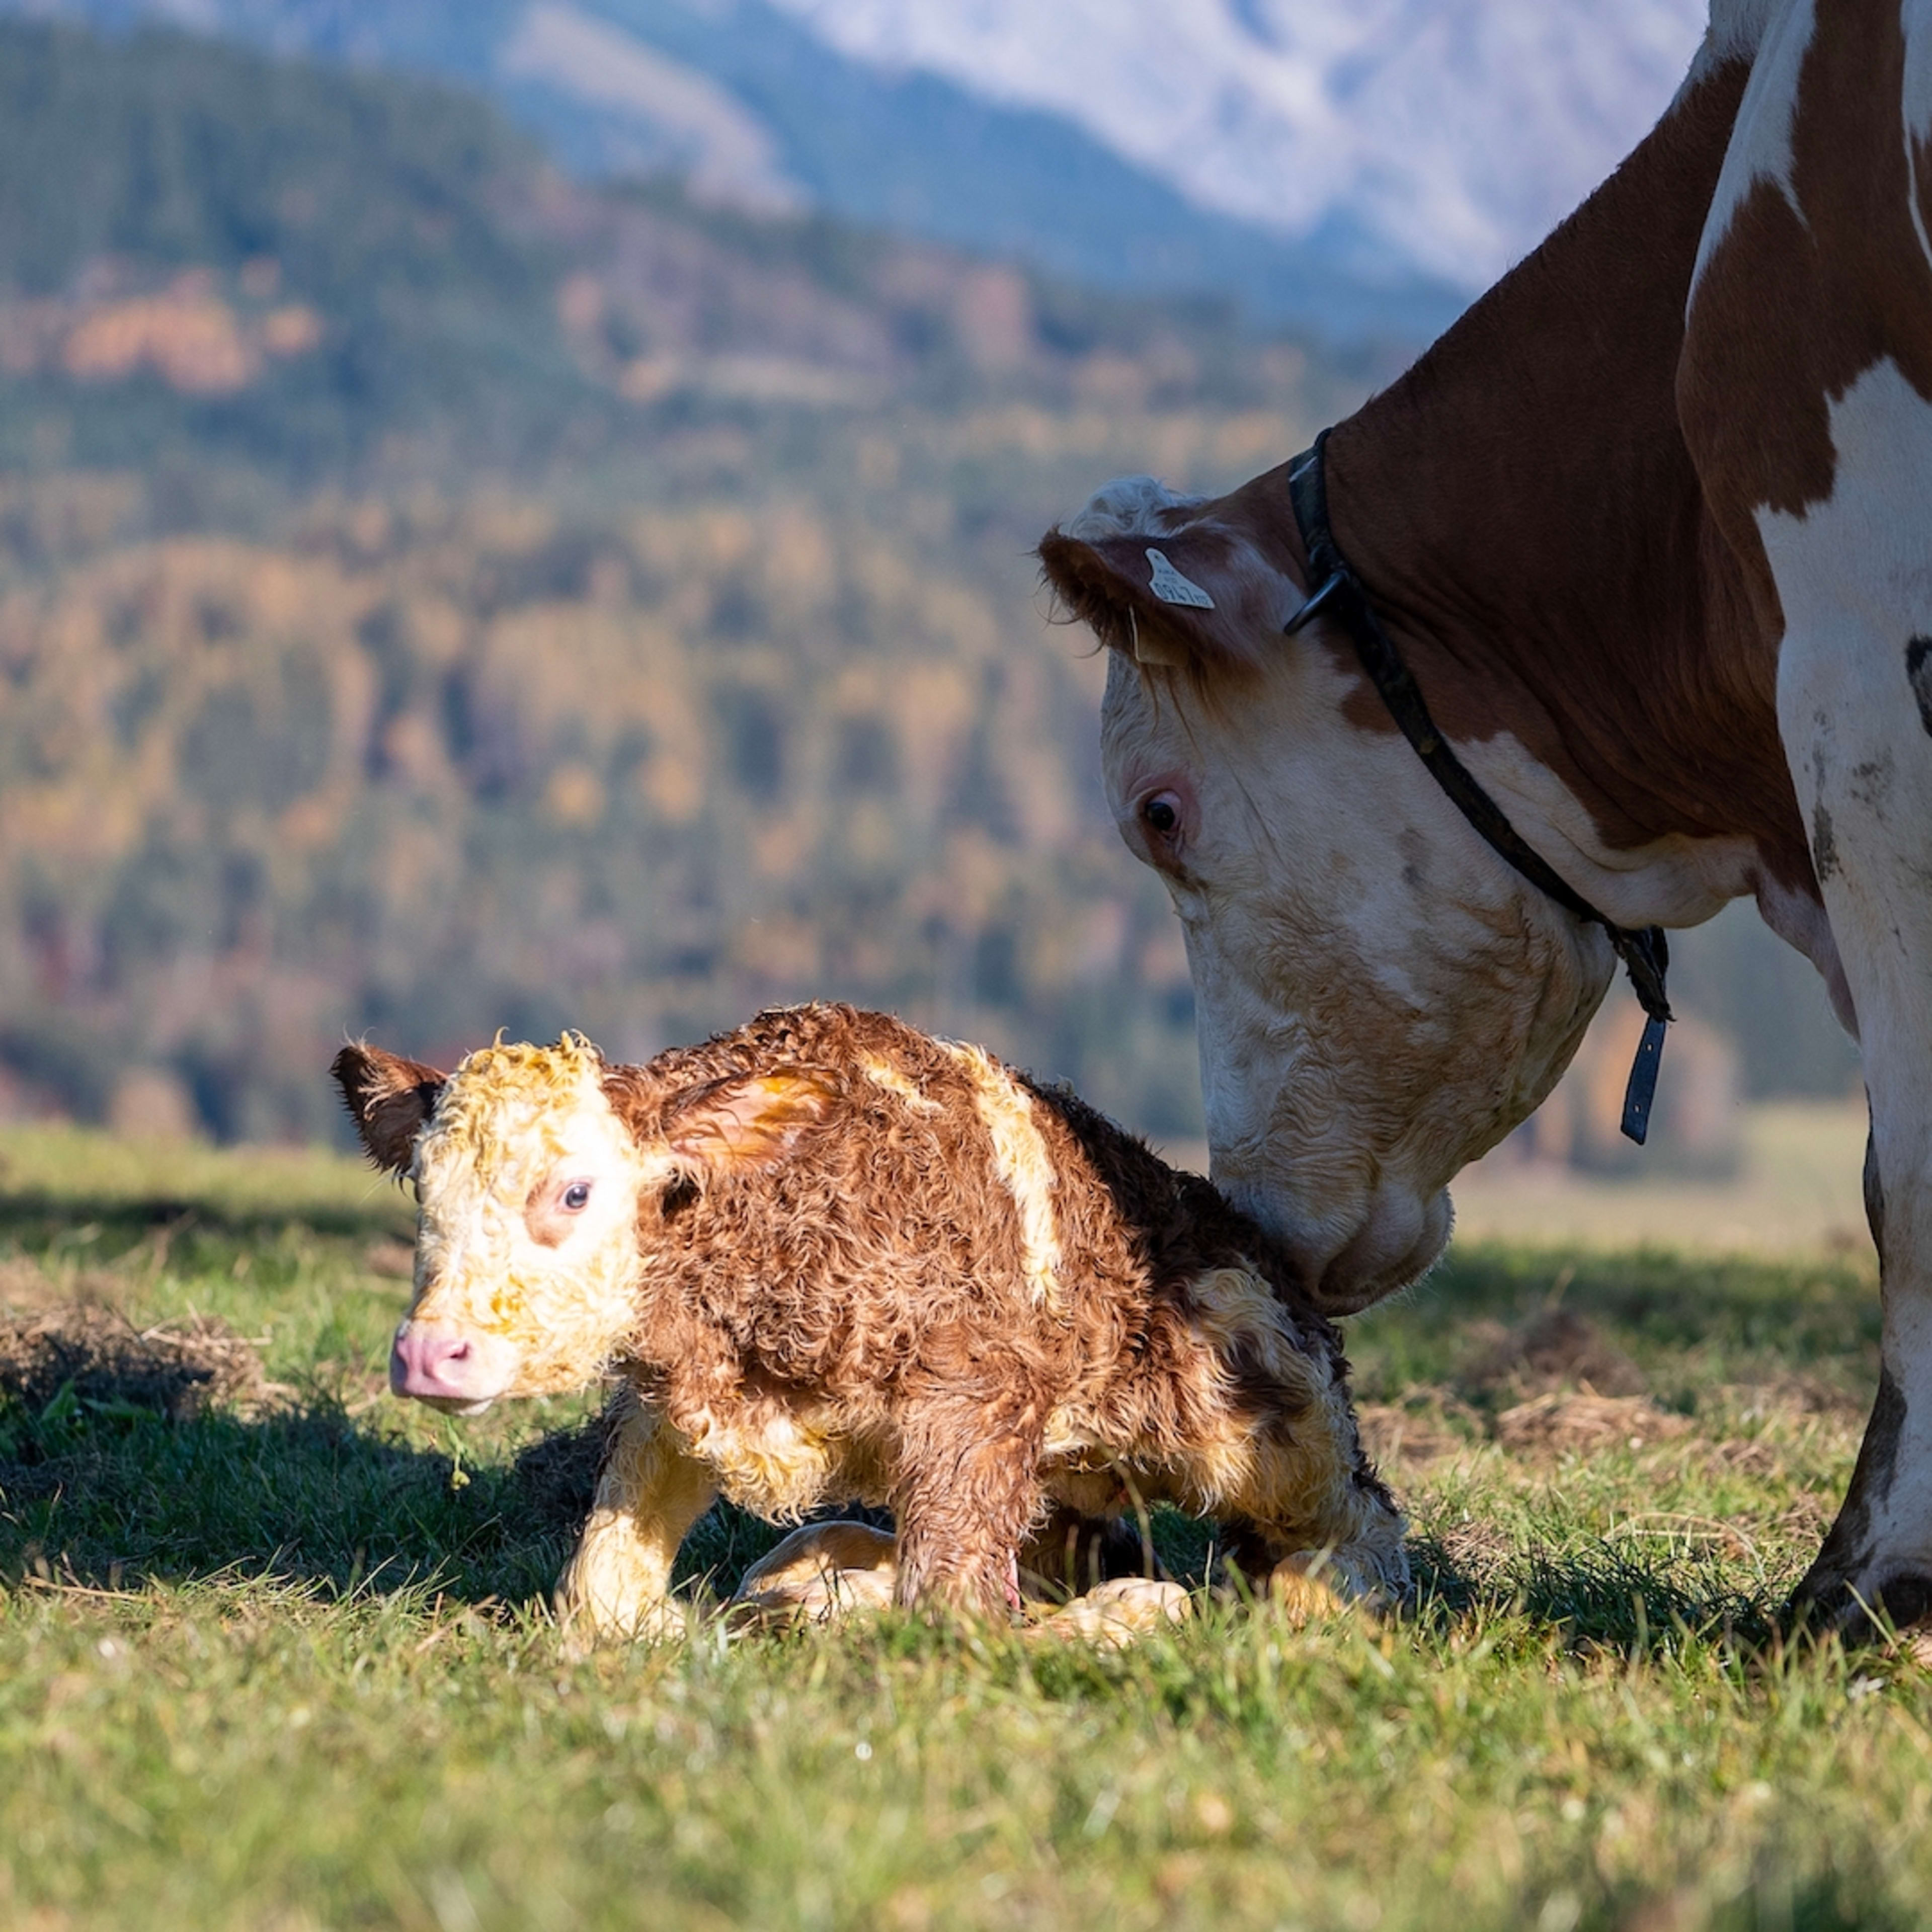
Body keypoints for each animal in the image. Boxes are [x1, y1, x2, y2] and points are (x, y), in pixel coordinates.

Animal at [332, 1005, 1406, 1640]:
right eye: (423, 1189)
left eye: (573, 1191)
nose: (429, 1353)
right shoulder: (678, 1399)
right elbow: (602, 1594)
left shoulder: (975, 1407)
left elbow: (956, 1622)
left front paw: (1138, 1614)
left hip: (1265, 1417)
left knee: (1365, 1527)